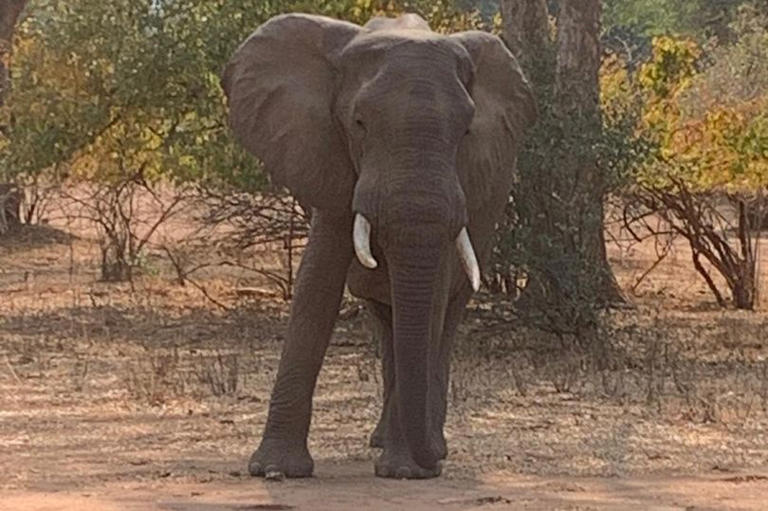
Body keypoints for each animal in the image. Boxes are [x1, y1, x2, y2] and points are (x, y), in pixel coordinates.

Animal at [221, 12, 536, 479]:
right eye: (359, 124)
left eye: (466, 131)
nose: (432, 464)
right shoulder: (328, 157)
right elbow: (316, 285)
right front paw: (276, 470)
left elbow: (433, 295)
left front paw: (407, 471)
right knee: (386, 314)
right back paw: (386, 441)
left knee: (447, 313)